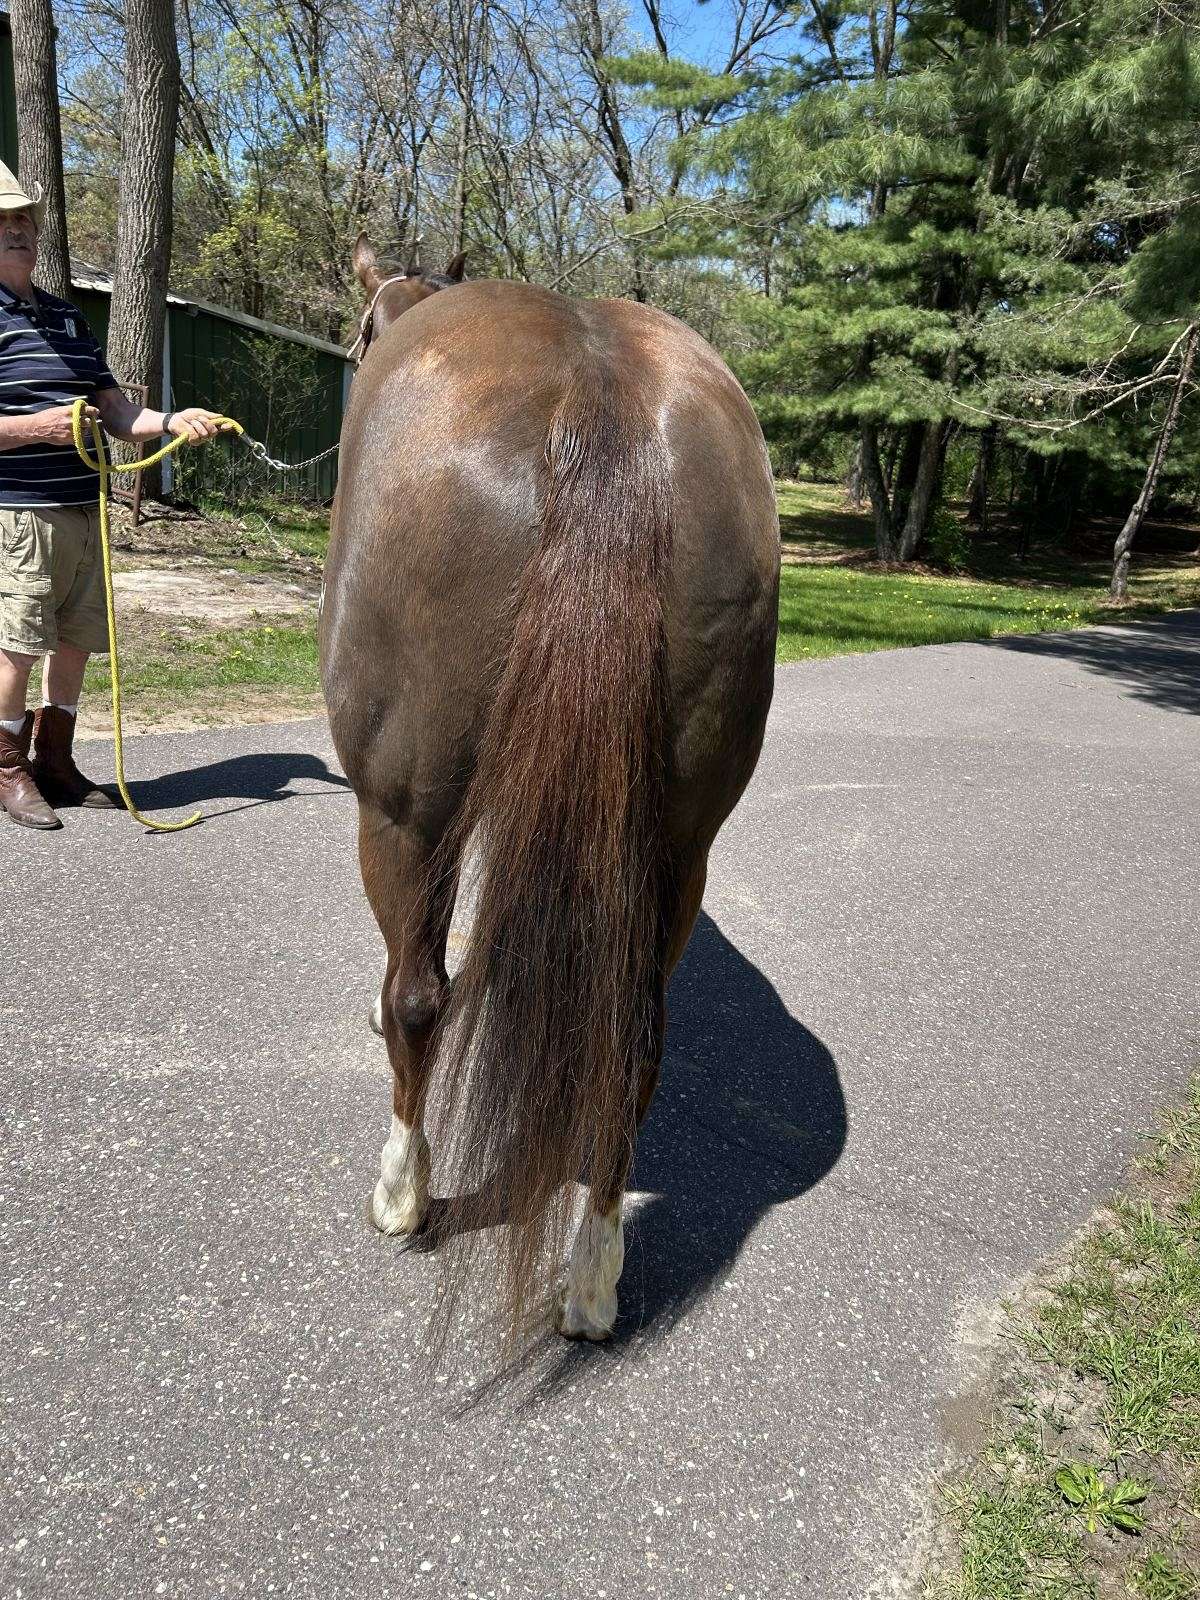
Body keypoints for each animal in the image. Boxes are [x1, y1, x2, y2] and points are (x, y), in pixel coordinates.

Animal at [319, 234, 780, 1350]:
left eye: (359, 335)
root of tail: (598, 401)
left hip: (403, 814)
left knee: (419, 994)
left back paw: (403, 1192)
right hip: (677, 847)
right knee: (635, 1042)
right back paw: (593, 1277)